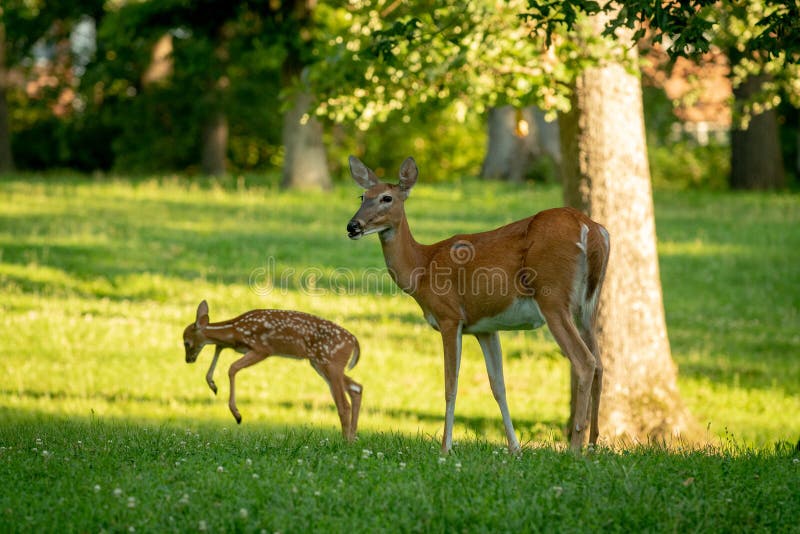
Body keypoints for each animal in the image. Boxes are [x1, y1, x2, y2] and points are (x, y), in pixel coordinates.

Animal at [182, 300, 363, 442]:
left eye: (186, 342)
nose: (188, 360)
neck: (234, 330)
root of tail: (354, 341)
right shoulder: (237, 347)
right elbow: (218, 347)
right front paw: (213, 385)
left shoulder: (263, 349)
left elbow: (232, 367)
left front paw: (237, 414)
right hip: (321, 364)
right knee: (357, 387)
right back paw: (352, 439)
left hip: (330, 363)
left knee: (344, 404)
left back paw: (345, 441)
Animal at [346, 156, 610, 454]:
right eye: (362, 196)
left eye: (386, 198)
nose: (352, 226)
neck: (422, 267)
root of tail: (591, 227)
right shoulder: (485, 327)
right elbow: (498, 386)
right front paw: (515, 449)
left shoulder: (449, 316)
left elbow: (450, 384)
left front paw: (445, 448)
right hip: (588, 304)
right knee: (600, 364)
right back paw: (592, 445)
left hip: (553, 297)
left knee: (585, 361)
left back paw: (575, 448)